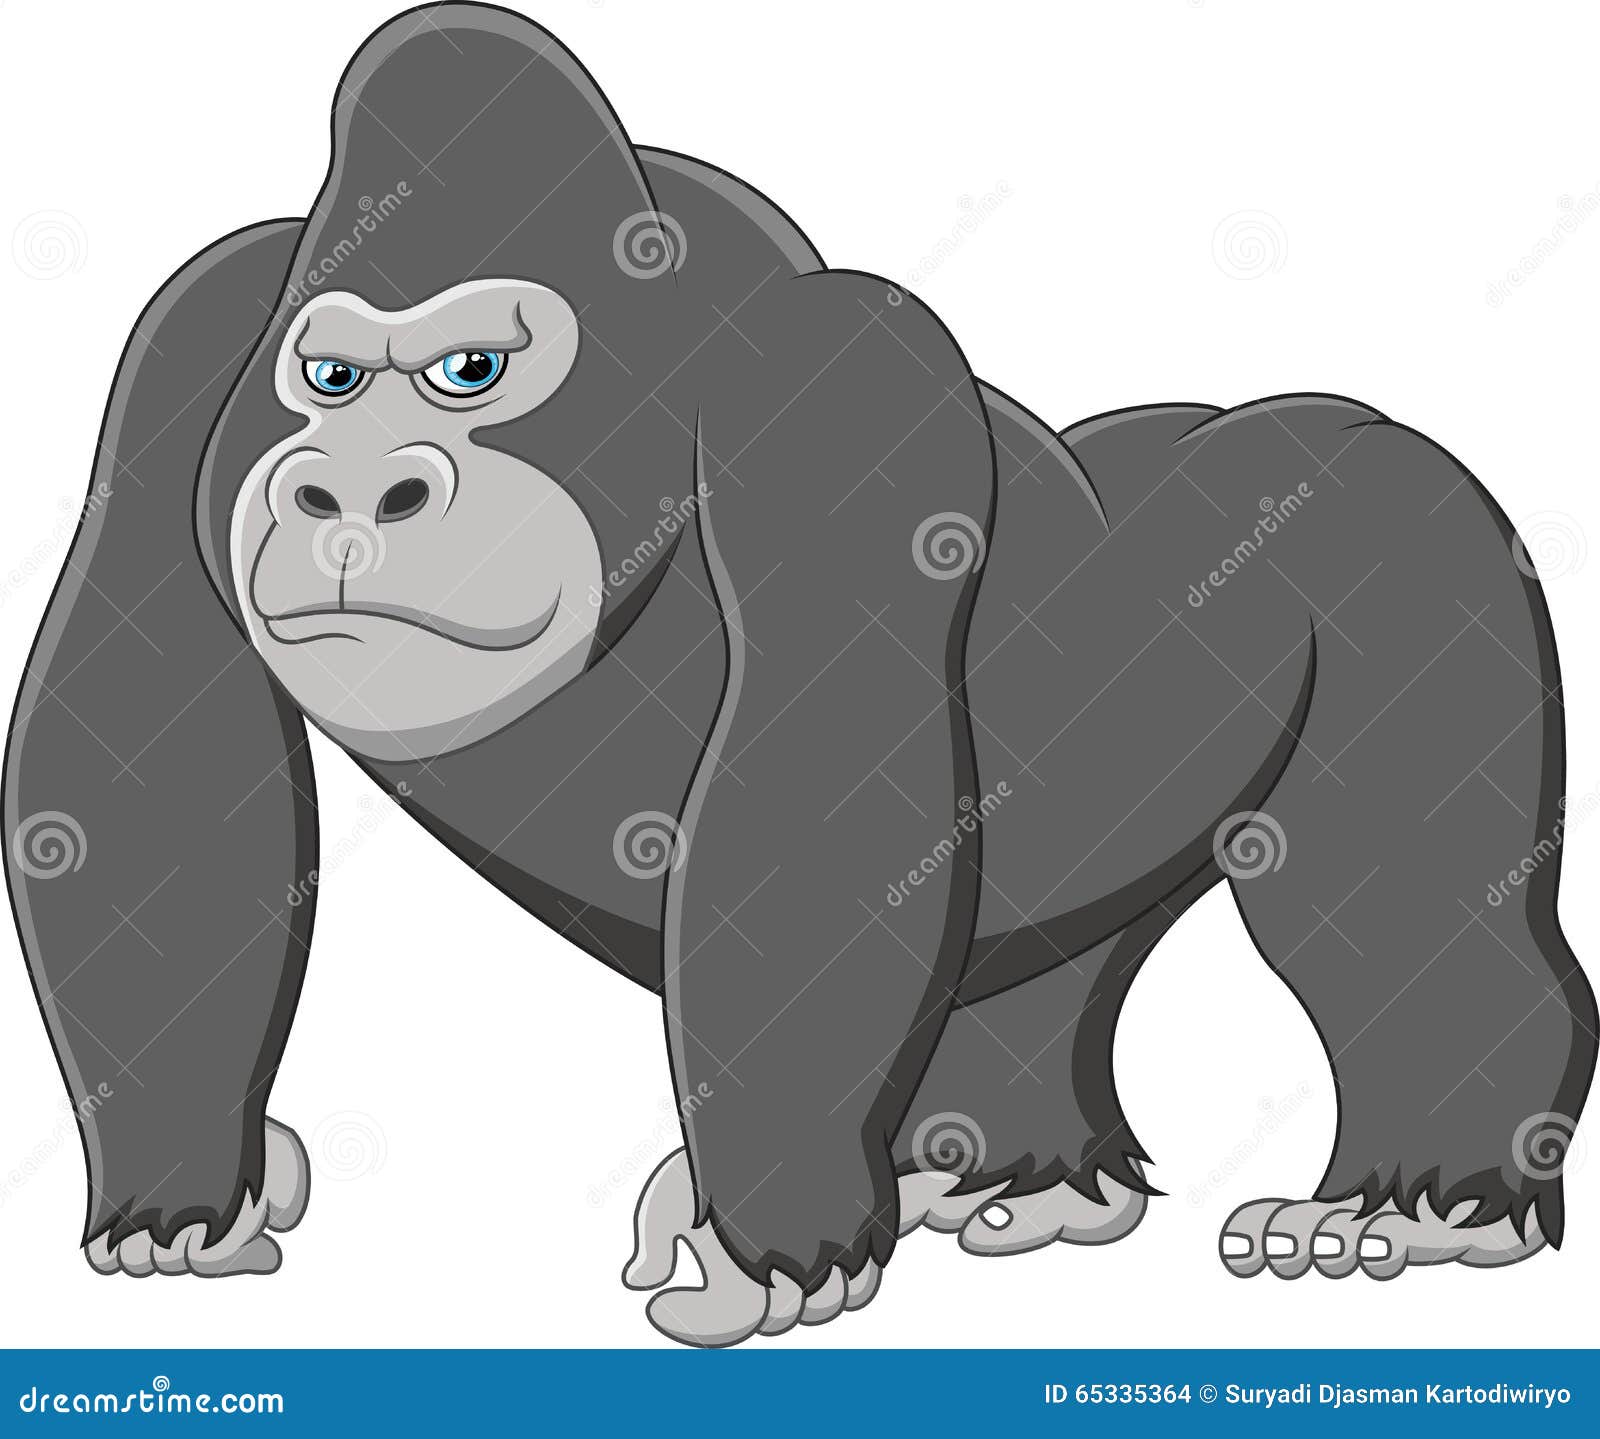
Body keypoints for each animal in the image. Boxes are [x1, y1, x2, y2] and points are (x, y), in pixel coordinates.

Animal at [5, 3, 1593, 1346]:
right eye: (328, 381)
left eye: (469, 373)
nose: (349, 490)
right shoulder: (184, 343)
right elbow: (141, 731)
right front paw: (180, 1191)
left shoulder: (836, 383)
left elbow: (816, 812)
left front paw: (760, 1239)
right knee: (1029, 938)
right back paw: (1010, 1169)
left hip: (1413, 531)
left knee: (1379, 896)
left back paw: (1421, 1191)